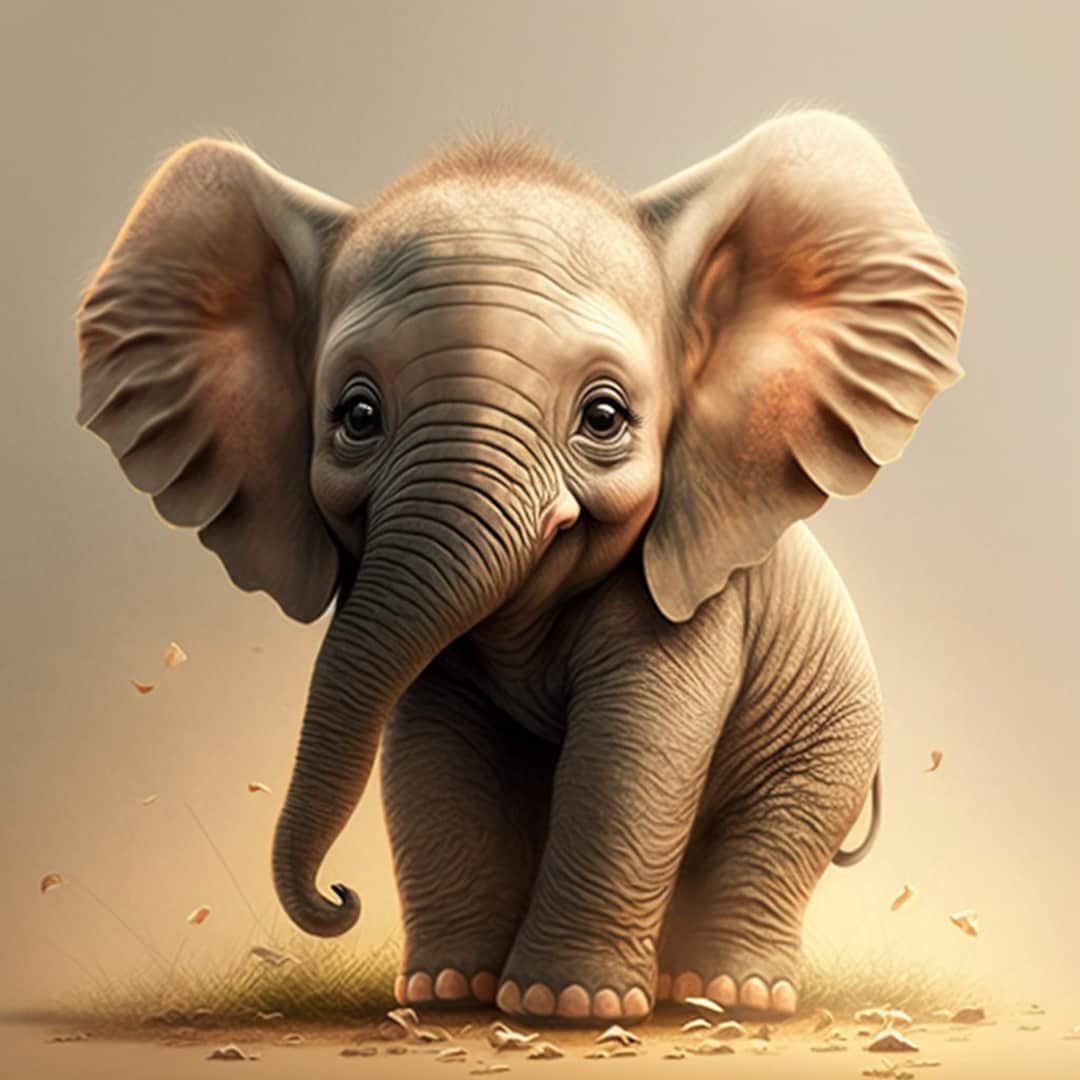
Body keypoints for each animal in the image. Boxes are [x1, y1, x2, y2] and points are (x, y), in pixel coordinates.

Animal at [75, 109, 966, 1026]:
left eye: (604, 416)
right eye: (356, 415)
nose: (339, 898)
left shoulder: (691, 597)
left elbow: (629, 752)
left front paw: (565, 1005)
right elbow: (432, 750)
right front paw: (445, 993)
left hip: (833, 725)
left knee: (774, 824)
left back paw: (728, 996)